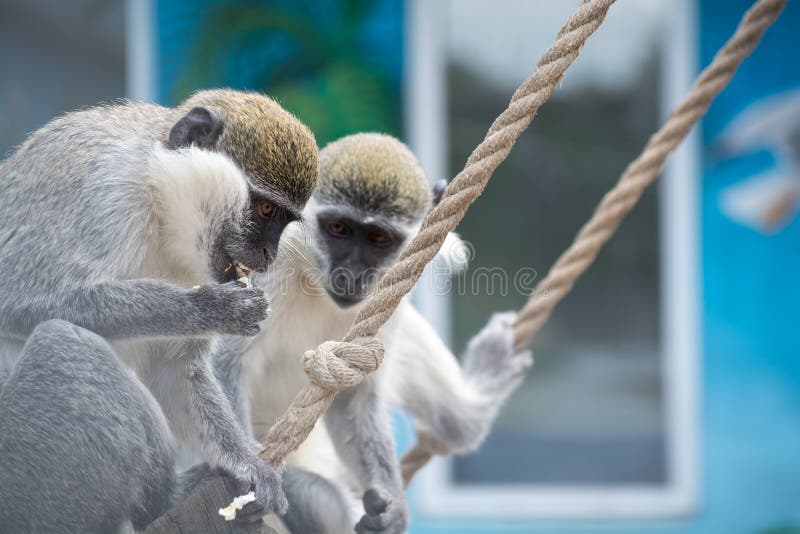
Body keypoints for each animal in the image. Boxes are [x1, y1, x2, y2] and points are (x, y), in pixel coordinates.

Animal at [0, 89, 318, 523]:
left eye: (285, 219)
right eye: (266, 209)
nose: (269, 255)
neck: (158, 198)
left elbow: (175, 368)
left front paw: (246, 462)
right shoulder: (104, 190)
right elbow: (16, 299)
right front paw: (208, 309)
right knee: (65, 342)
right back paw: (162, 500)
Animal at [213, 133, 532, 533]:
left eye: (378, 237)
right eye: (338, 229)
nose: (351, 271)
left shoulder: (391, 291)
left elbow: (353, 395)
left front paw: (392, 509)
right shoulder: (275, 261)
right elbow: (226, 362)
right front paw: (247, 476)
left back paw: (473, 405)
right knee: (308, 492)